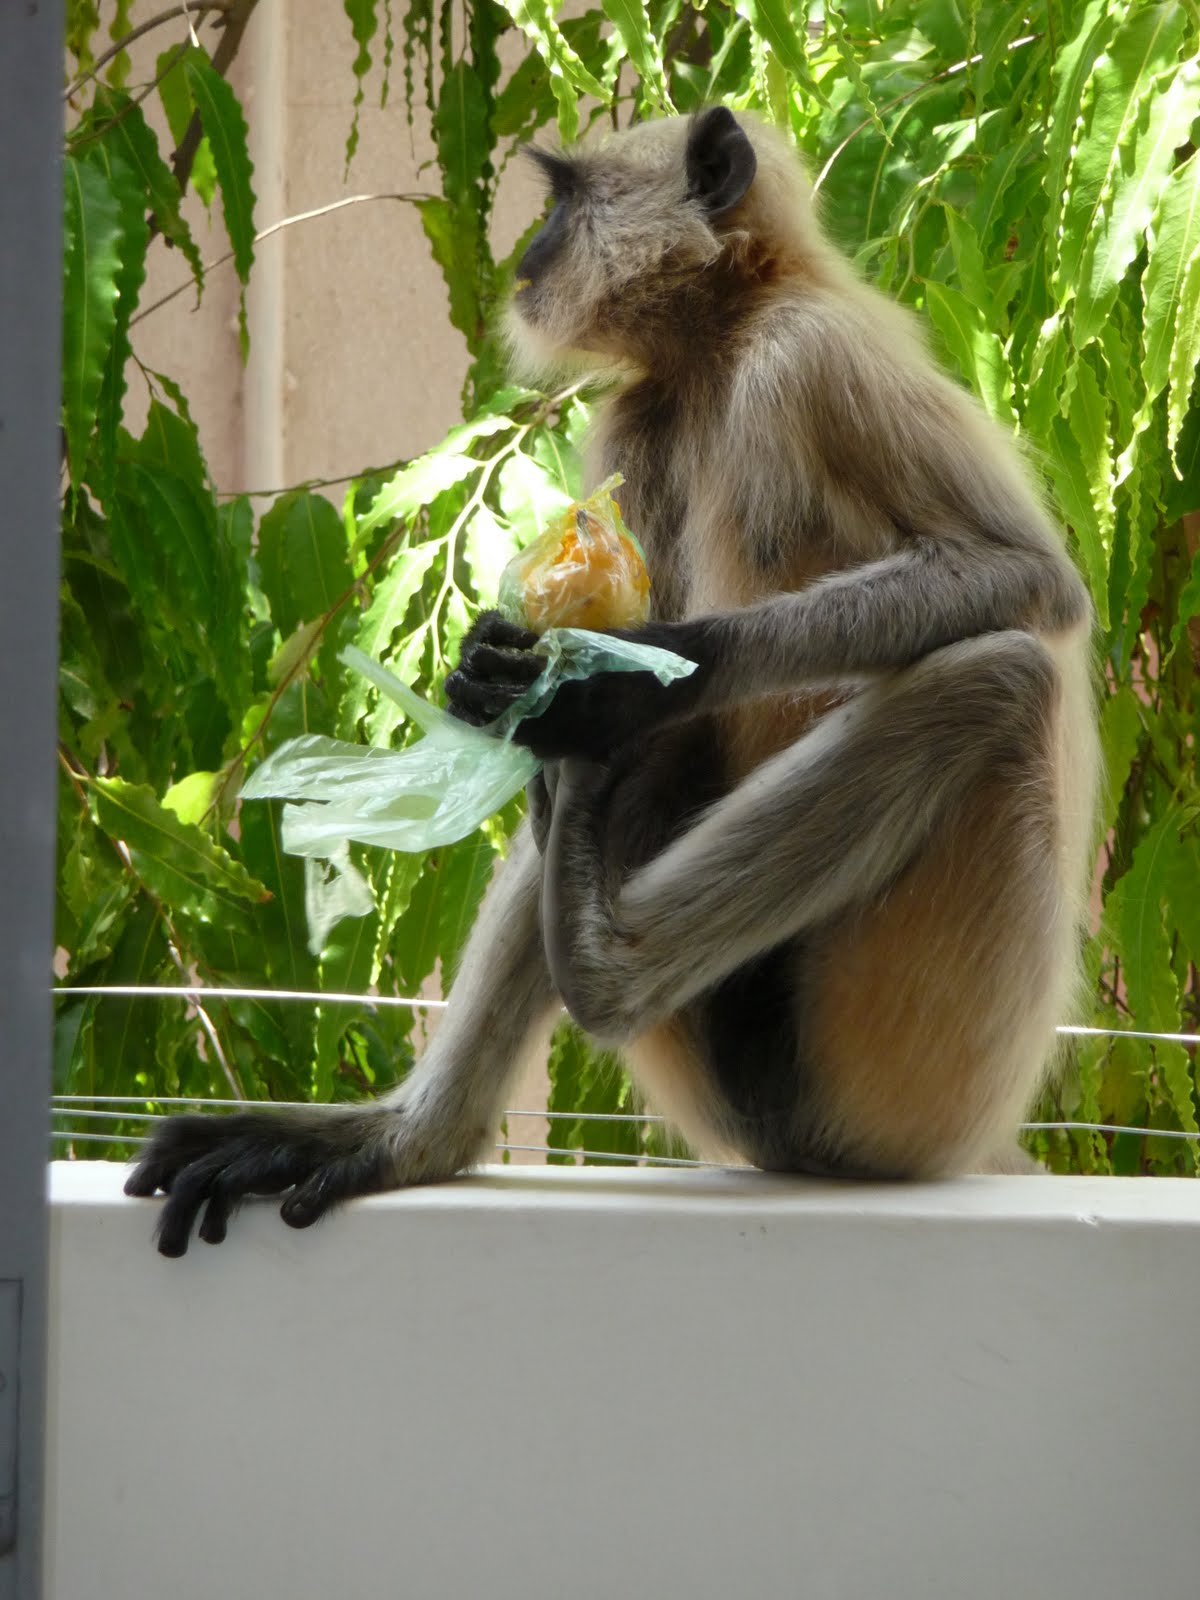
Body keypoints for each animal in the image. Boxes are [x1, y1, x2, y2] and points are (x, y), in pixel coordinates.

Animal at [126, 106, 1099, 1256]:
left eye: (559, 201)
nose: (526, 251)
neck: (721, 343)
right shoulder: (638, 414)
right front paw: (501, 668)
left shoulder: (811, 355)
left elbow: (1028, 582)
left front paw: (630, 683)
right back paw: (416, 1135)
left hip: (922, 1067)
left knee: (1001, 677)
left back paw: (604, 956)